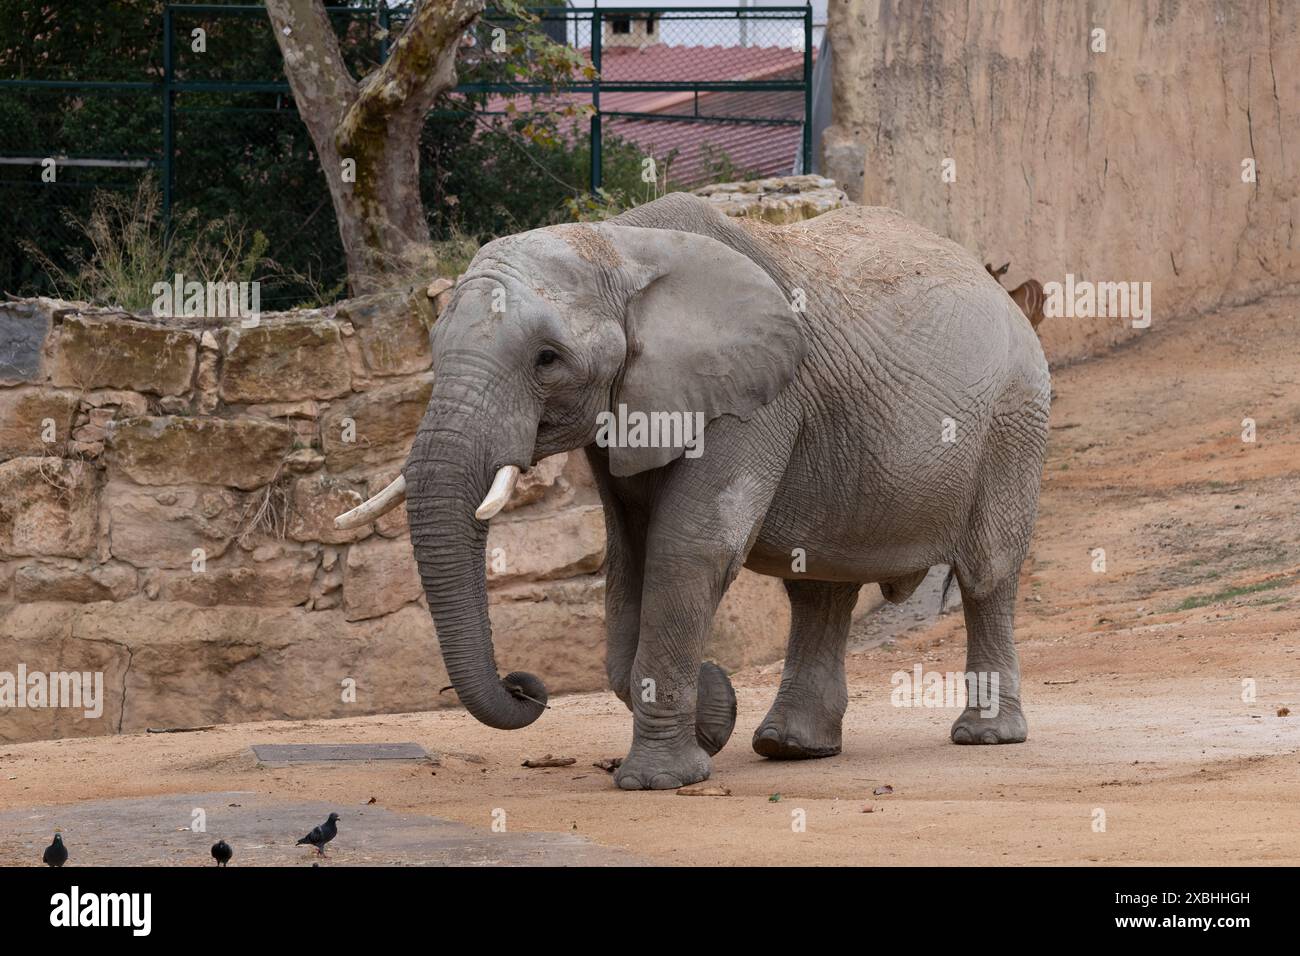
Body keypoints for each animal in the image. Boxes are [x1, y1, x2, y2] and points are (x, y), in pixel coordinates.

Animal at [335, 192, 1051, 791]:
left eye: (547, 359)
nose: (524, 685)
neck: (620, 243)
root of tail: (999, 284)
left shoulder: (753, 395)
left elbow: (688, 550)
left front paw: (660, 778)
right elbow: (629, 557)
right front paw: (710, 719)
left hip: (1014, 418)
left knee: (987, 573)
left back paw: (984, 738)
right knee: (819, 587)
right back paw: (789, 747)